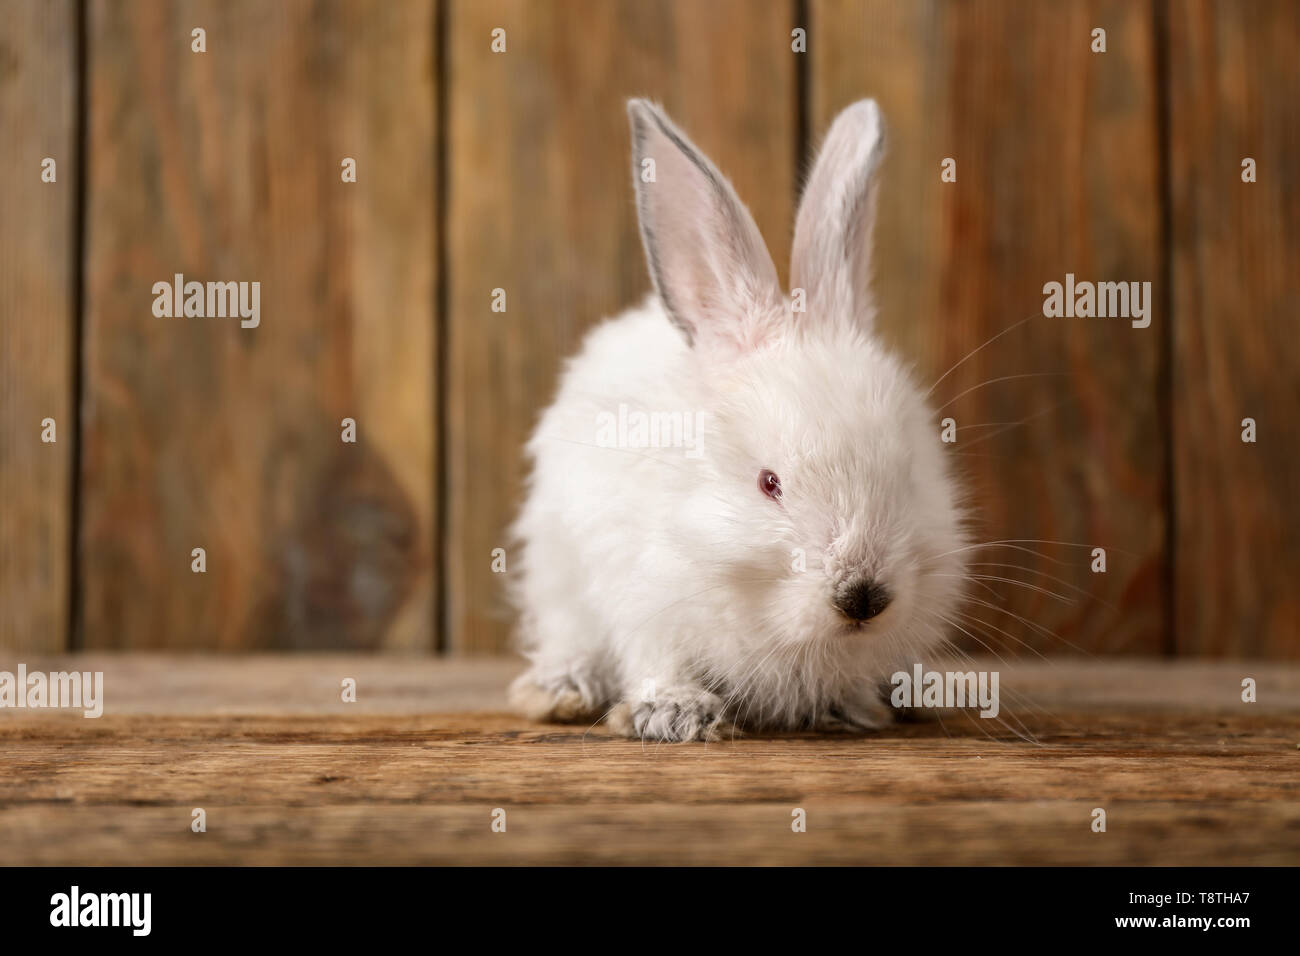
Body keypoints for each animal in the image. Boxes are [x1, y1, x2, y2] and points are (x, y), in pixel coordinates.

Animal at [507, 98, 969, 741]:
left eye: (907, 478)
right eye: (768, 484)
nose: (862, 598)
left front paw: (847, 706)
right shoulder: (643, 591)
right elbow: (656, 658)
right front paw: (675, 714)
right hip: (556, 573)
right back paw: (560, 691)